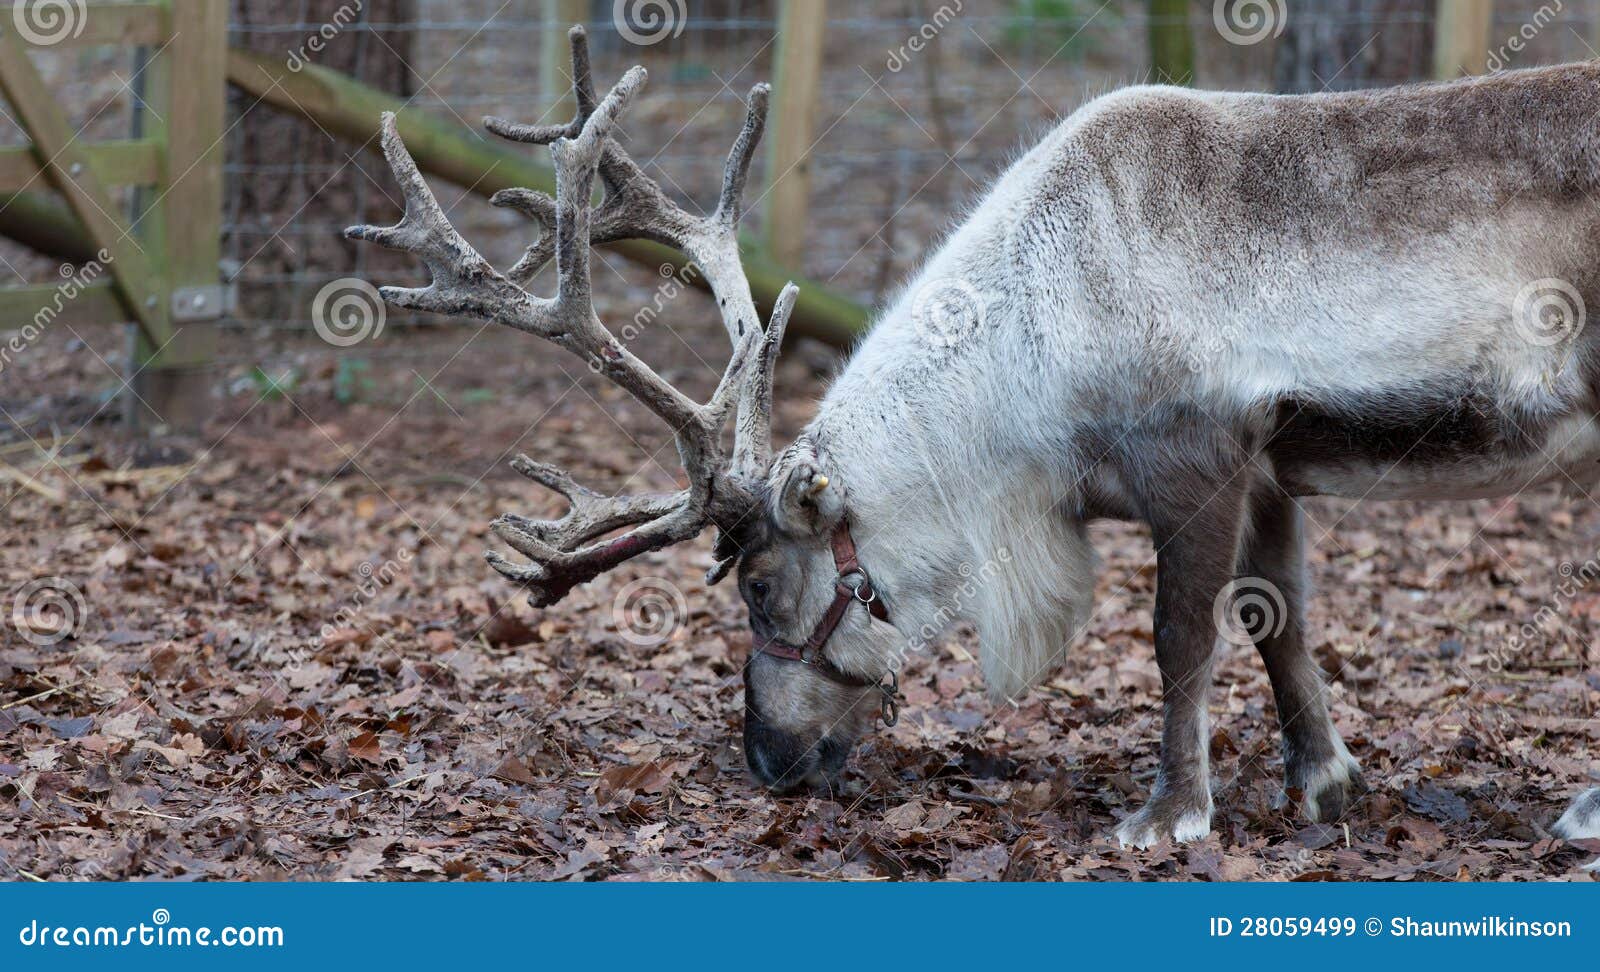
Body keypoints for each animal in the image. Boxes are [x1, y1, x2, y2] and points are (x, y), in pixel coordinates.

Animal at [349, 27, 1600, 850]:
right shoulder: (1273, 466)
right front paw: (1321, 784)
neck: (1025, 361)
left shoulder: (1192, 459)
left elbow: (1183, 638)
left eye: (758, 586)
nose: (764, 760)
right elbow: (1280, 620)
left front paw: (1168, 814)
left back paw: (1578, 813)